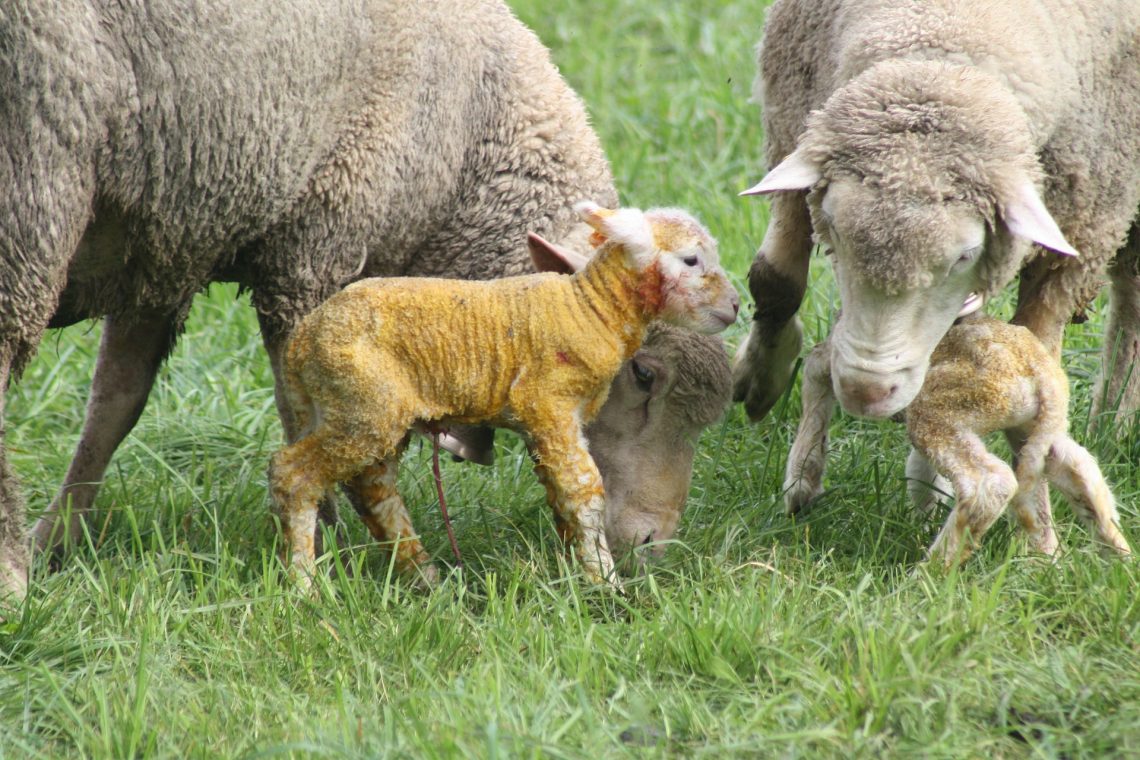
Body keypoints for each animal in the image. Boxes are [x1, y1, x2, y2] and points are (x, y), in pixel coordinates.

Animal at [268, 202, 739, 587]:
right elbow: (585, 493)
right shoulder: (549, 404)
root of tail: (302, 343)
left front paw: (577, 571)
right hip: (363, 406)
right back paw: (305, 584)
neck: (589, 308)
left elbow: (559, 496)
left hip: (367, 409)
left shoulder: (546, 423)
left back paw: (425, 577)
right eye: (692, 259)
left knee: (374, 489)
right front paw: (606, 583)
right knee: (294, 475)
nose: (735, 306)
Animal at [732, 0, 1140, 427]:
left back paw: (1113, 420)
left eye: (965, 256)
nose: (866, 391)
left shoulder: (1086, 221)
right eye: (834, 231)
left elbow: (1036, 337)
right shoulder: (792, 131)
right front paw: (759, 381)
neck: (953, 27)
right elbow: (775, 281)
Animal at [785, 313, 1133, 565]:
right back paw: (1118, 561)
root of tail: (1039, 373)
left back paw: (925, 577)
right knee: (1075, 466)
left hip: (953, 403)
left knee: (989, 483)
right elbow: (919, 472)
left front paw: (798, 490)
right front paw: (924, 514)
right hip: (1033, 421)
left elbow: (814, 369)